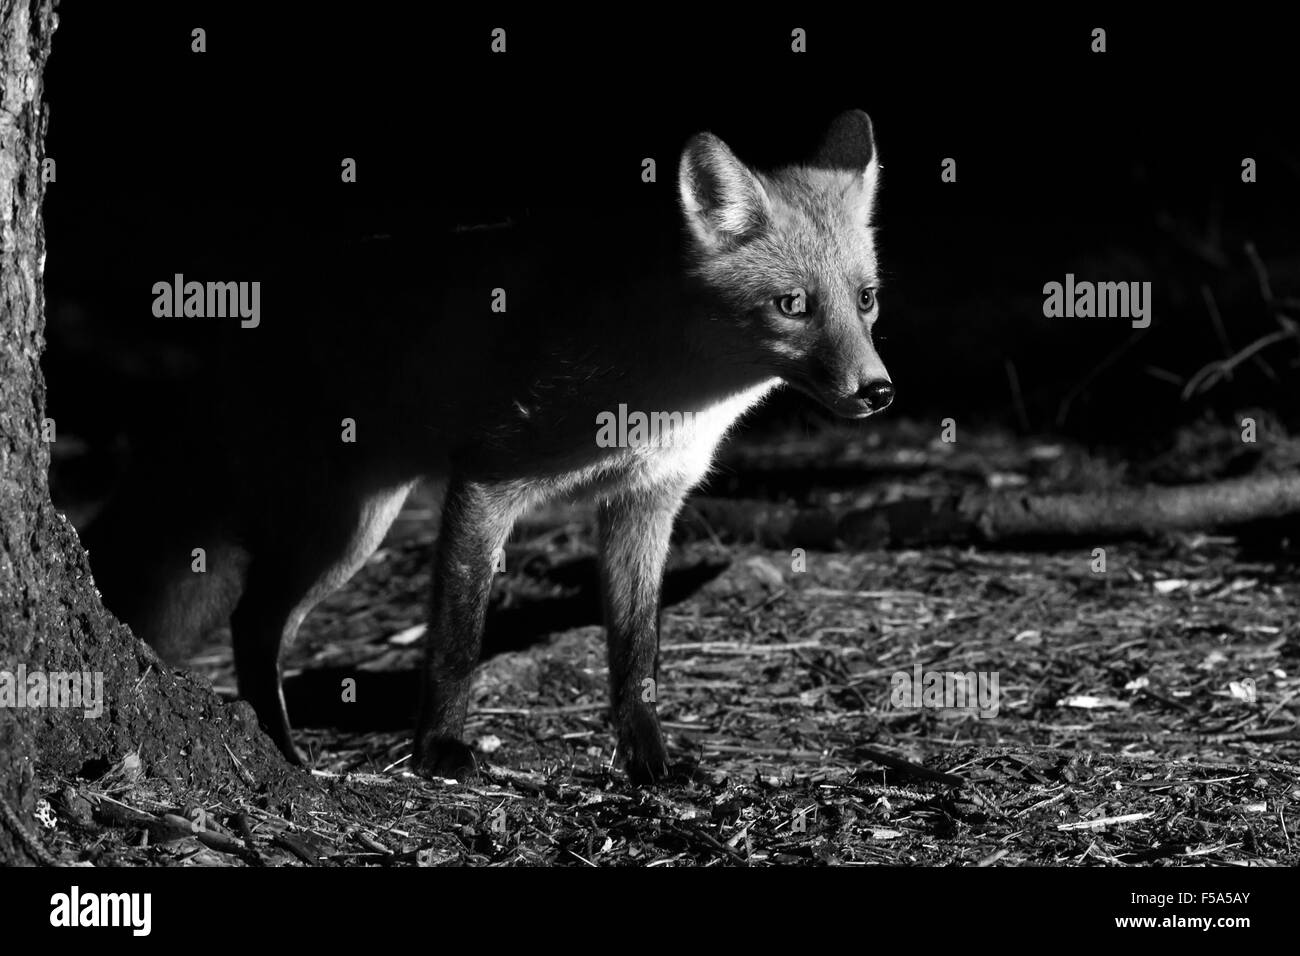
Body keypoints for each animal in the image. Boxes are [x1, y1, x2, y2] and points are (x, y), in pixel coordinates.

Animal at [83, 109, 894, 784]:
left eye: (866, 298)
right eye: (793, 305)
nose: (879, 392)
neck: (670, 385)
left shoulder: (645, 502)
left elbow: (637, 653)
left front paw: (650, 759)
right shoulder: (488, 480)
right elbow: (456, 639)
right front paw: (439, 750)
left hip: (356, 525)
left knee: (259, 624)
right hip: (342, 530)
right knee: (253, 623)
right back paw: (281, 753)